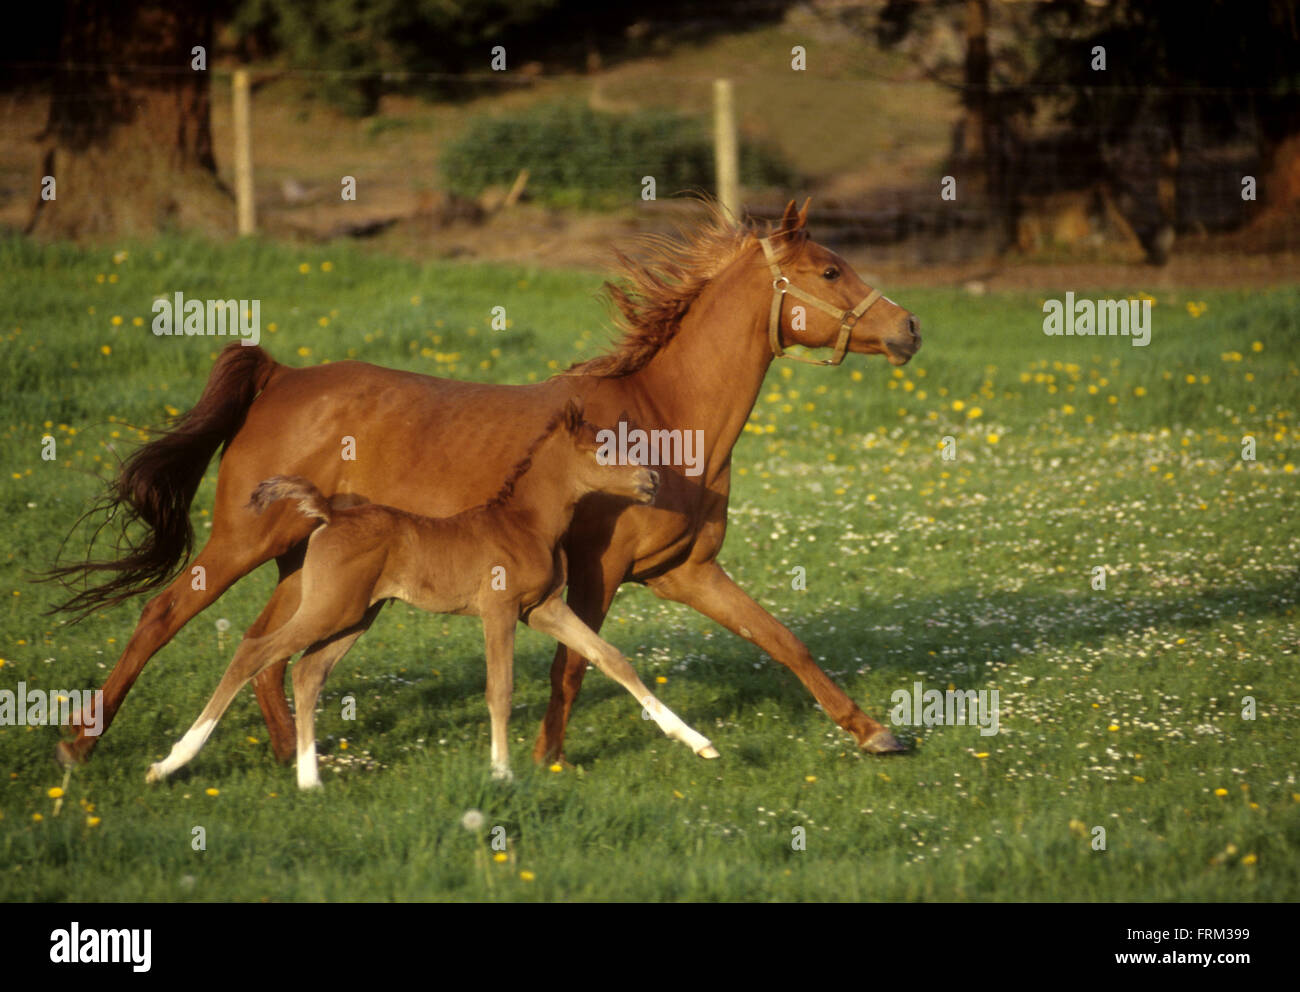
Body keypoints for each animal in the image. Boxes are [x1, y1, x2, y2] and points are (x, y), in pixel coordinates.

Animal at [145, 401, 718, 789]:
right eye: (603, 449)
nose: (650, 481)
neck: (525, 523)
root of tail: (329, 514)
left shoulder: (544, 609)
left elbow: (613, 658)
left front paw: (698, 743)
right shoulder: (499, 610)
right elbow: (500, 688)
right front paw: (501, 772)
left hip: (357, 615)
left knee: (307, 673)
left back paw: (310, 780)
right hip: (330, 609)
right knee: (254, 651)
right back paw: (172, 760)